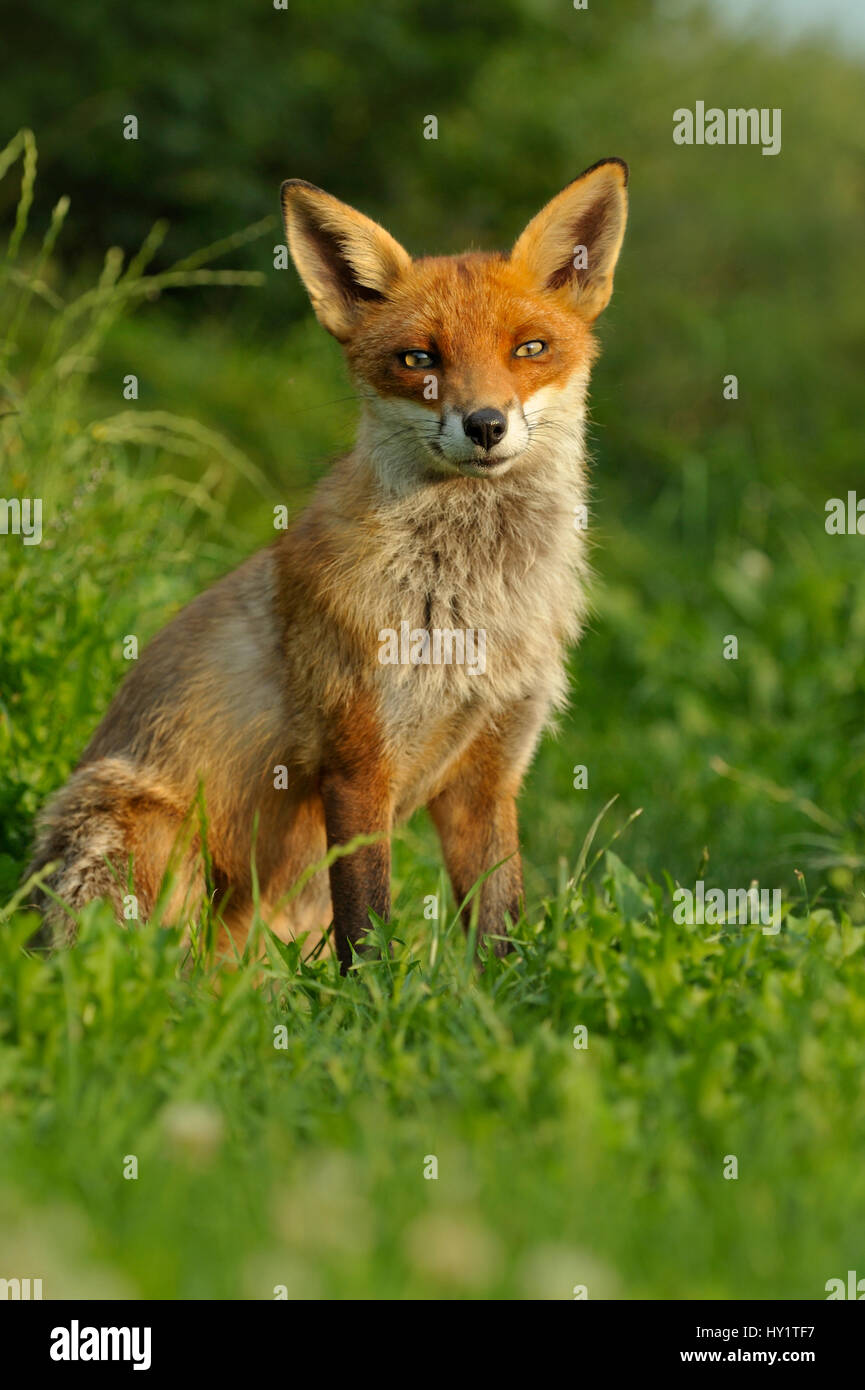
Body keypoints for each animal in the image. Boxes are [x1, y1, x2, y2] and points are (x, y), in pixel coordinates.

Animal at [25, 157, 629, 972]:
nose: (485, 425)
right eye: (418, 359)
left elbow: (499, 929)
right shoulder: (356, 759)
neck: (473, 601)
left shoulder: (489, 772)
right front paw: (373, 1002)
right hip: (144, 826)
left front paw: (515, 998)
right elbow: (368, 924)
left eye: (529, 348)